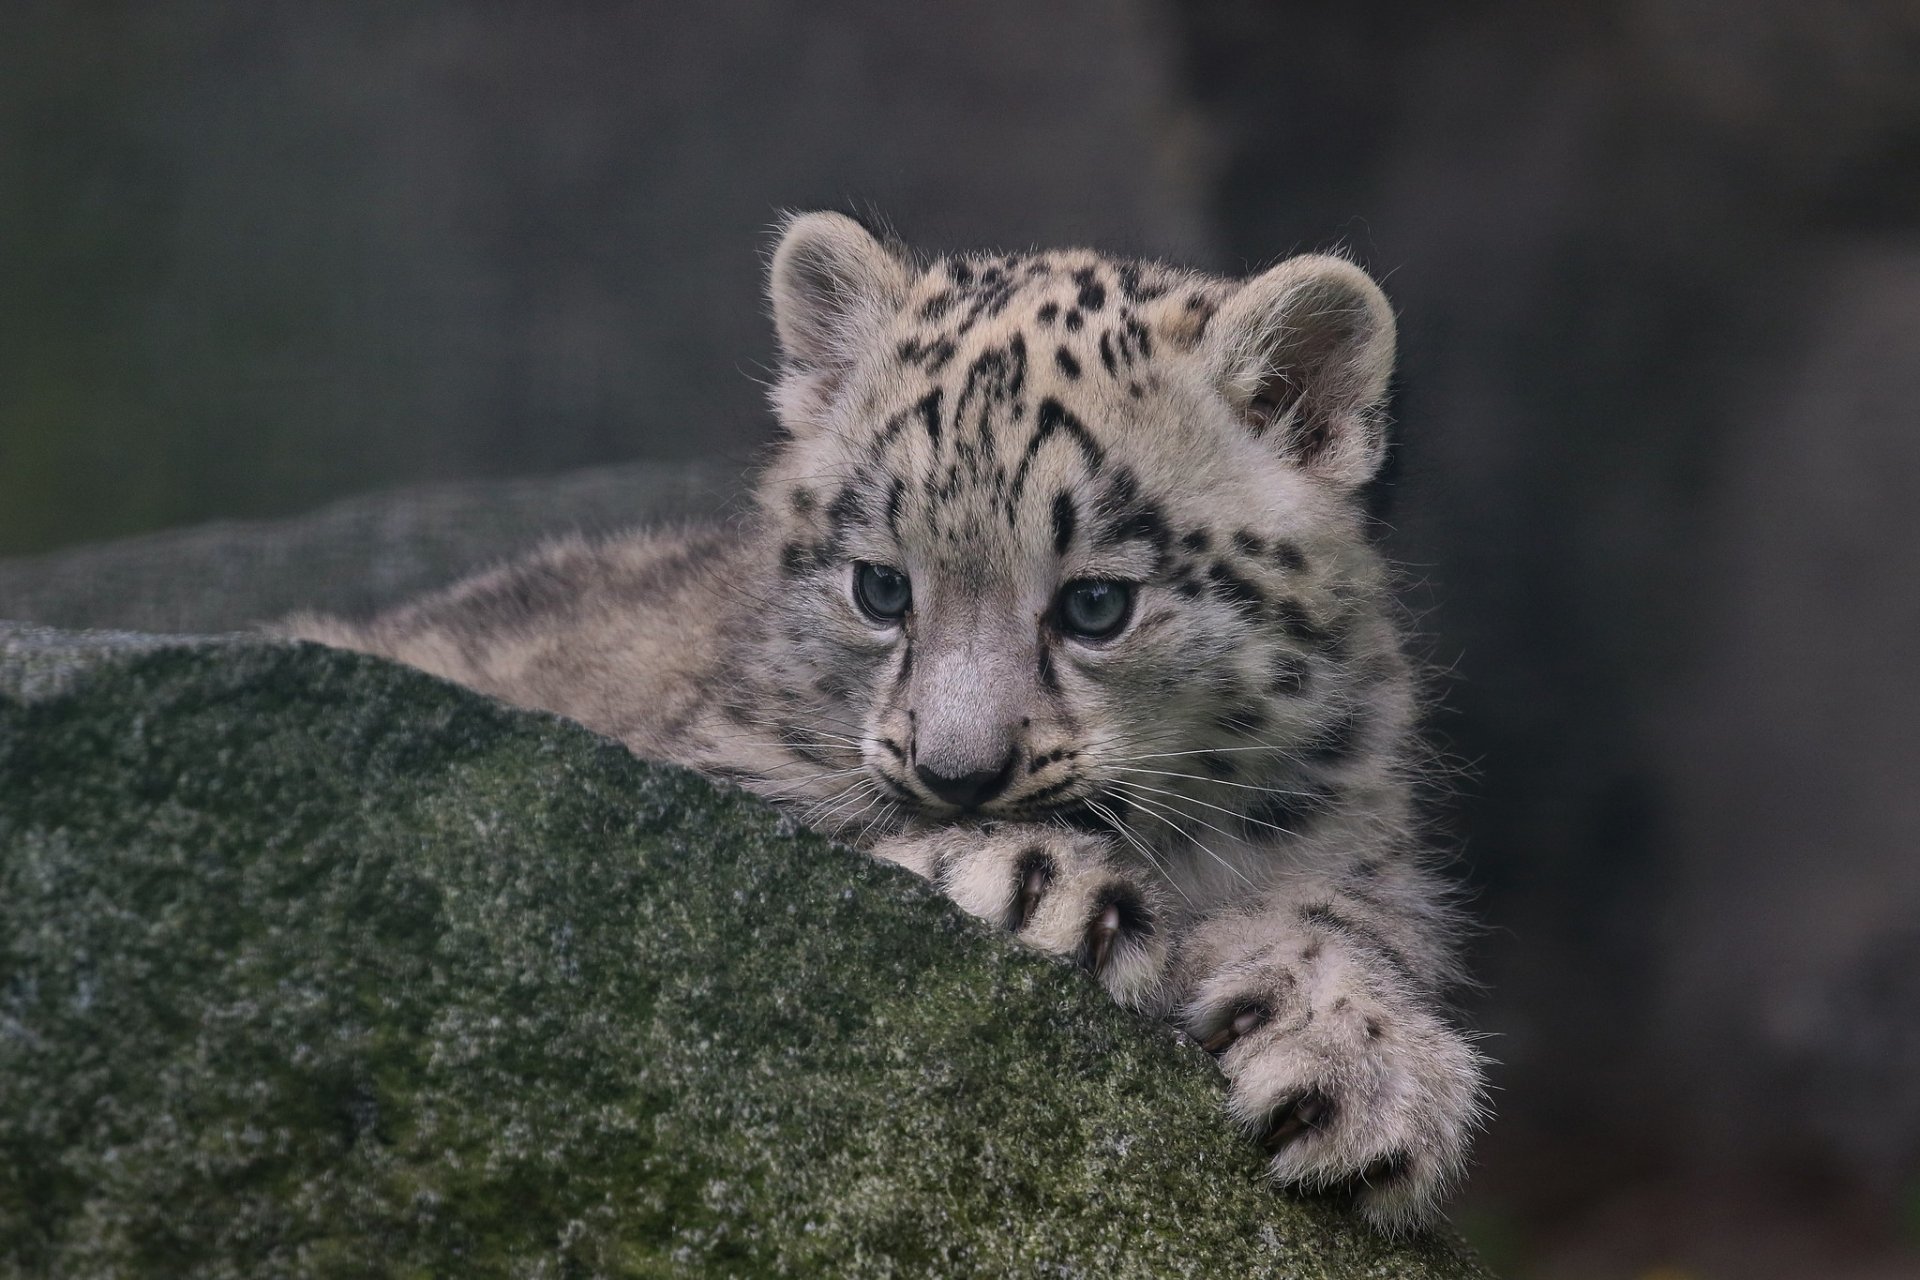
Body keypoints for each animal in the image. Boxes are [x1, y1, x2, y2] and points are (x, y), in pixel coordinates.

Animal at [283, 212, 1489, 1233]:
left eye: (1098, 604)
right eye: (880, 588)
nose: (958, 773)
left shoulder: (1351, 824)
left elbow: (1355, 916)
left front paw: (1361, 1074)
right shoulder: (711, 770)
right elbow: (813, 826)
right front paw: (1041, 886)